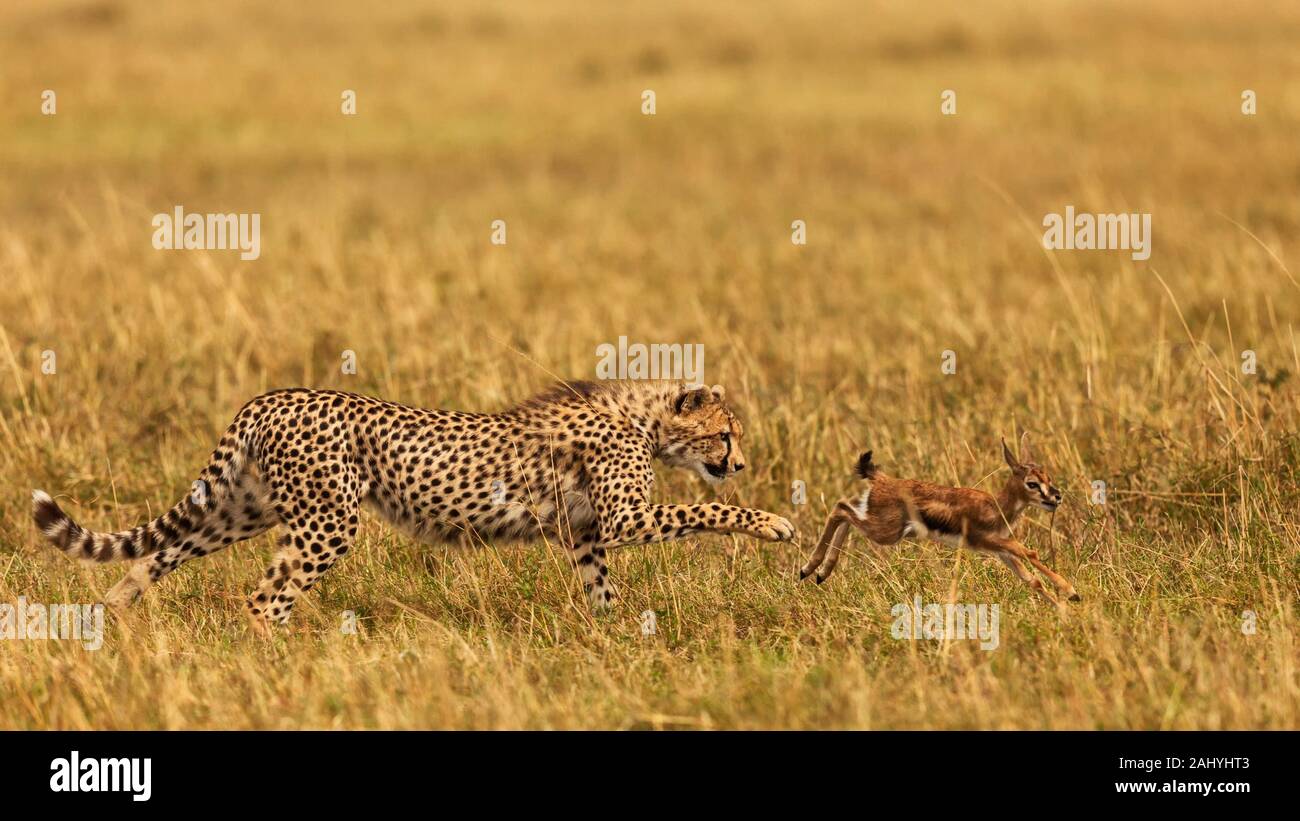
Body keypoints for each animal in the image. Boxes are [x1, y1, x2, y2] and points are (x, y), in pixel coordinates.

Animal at [32, 380, 795, 632]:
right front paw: (776, 522)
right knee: (265, 595)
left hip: (248, 508)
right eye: (725, 433)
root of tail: (270, 396)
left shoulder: (583, 533)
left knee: (162, 550)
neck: (641, 415)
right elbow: (710, 514)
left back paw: (112, 610)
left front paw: (615, 637)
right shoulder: (625, 519)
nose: (740, 464)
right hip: (327, 521)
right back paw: (276, 658)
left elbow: (599, 586)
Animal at [799, 434, 1080, 608]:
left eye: (1047, 476)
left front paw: (1062, 611)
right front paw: (1071, 593)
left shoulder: (1001, 550)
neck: (998, 506)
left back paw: (820, 573)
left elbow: (1032, 580)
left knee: (844, 510)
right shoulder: (991, 540)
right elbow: (1030, 553)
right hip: (885, 533)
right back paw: (808, 569)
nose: (1056, 497)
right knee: (840, 509)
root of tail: (881, 479)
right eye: (1032, 483)